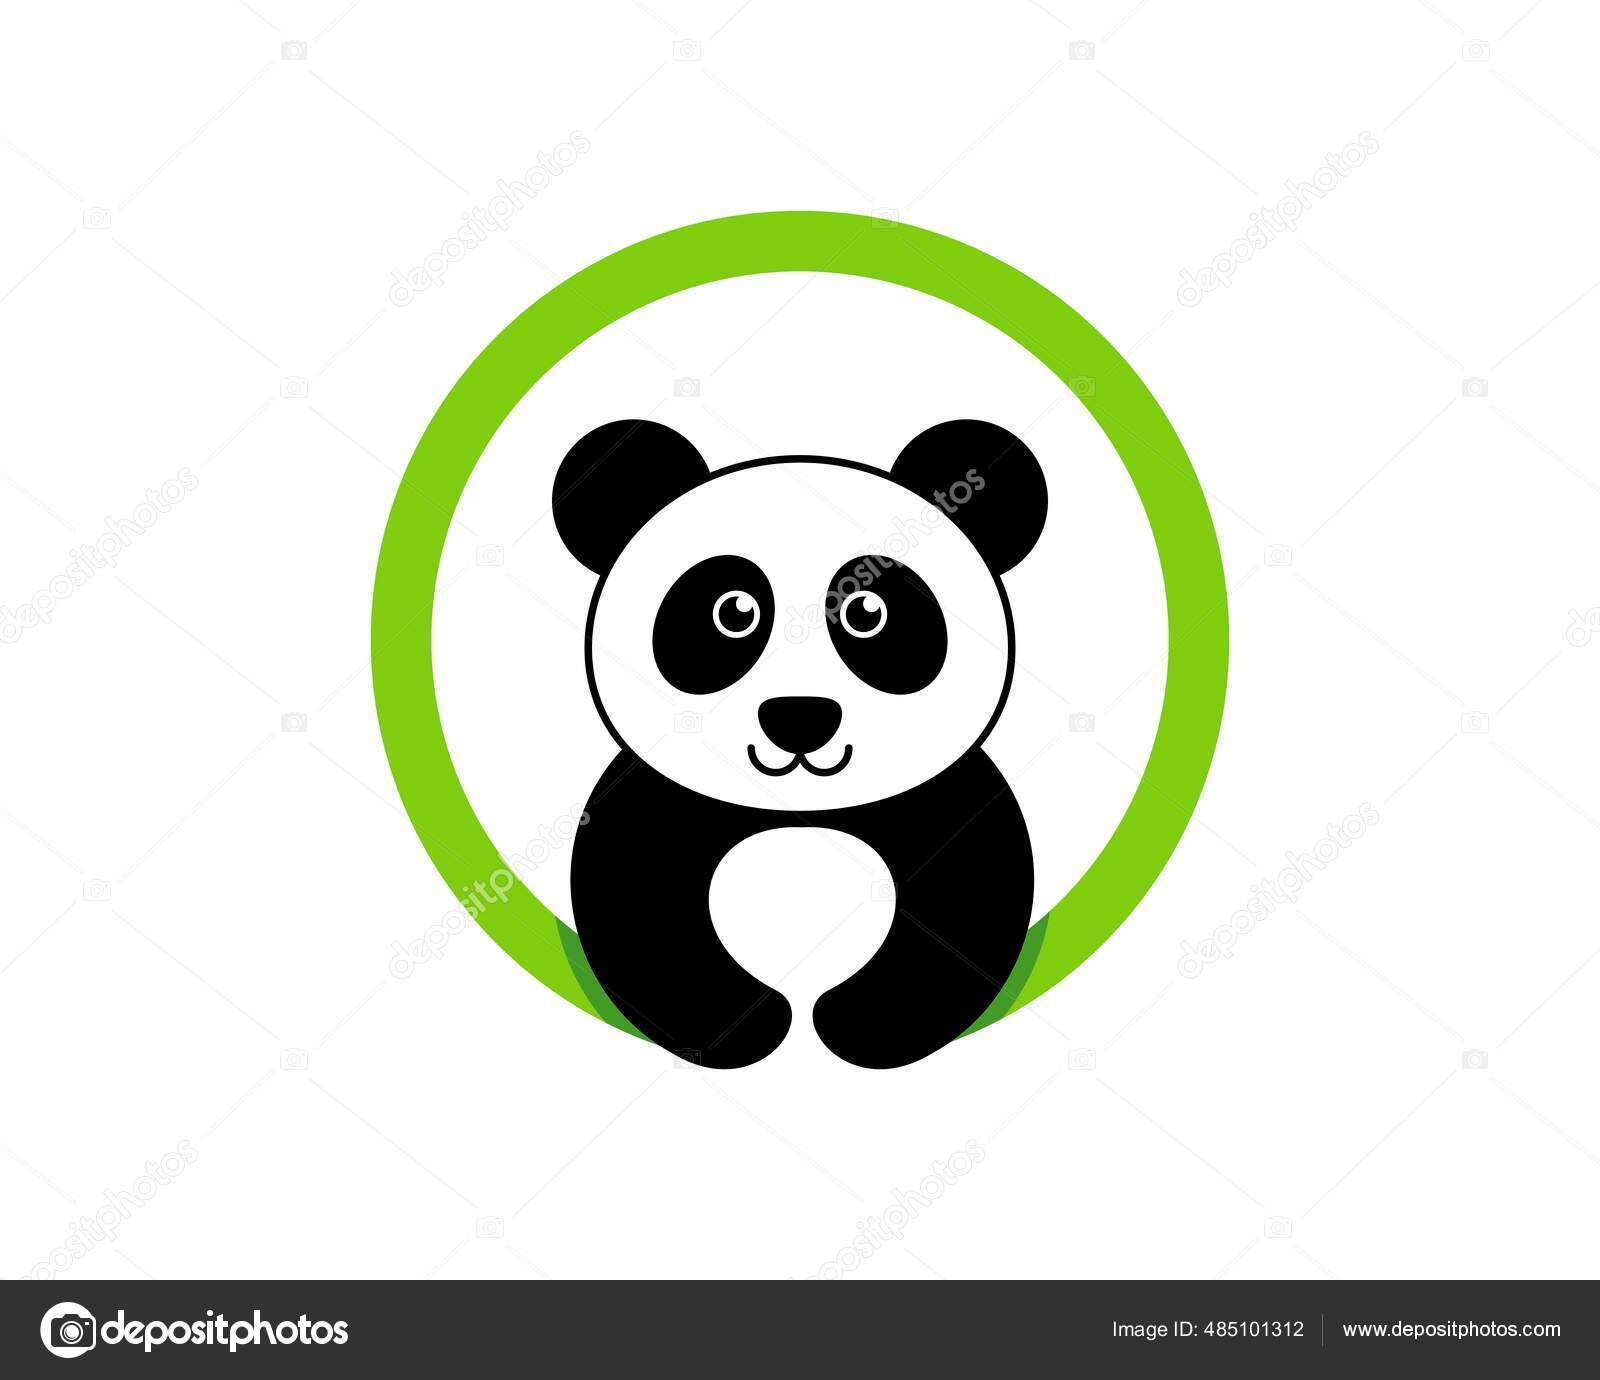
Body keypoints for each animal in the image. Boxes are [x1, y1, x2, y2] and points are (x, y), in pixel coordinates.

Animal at [552, 417, 1047, 1069]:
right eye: (733, 611)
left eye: (868, 610)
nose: (799, 719)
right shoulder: (647, 798)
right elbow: (643, 910)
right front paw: (745, 1026)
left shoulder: (956, 797)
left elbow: (966, 903)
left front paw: (859, 1021)